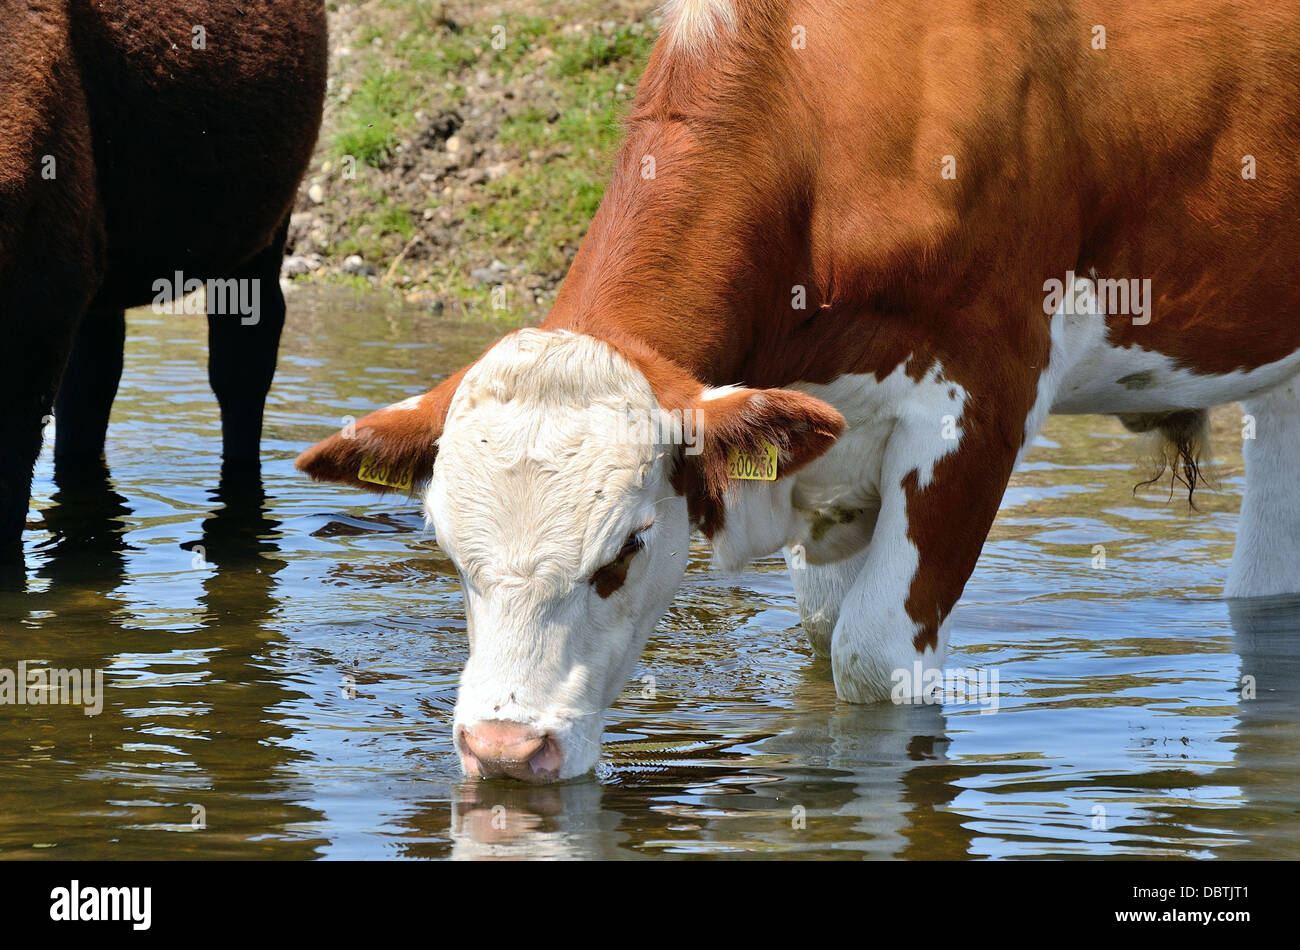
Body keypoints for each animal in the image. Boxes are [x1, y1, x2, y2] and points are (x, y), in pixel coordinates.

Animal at [299, 0, 1300, 782]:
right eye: (448, 552)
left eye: (625, 550)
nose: (506, 752)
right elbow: (821, 638)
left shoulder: (980, 401)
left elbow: (872, 663)